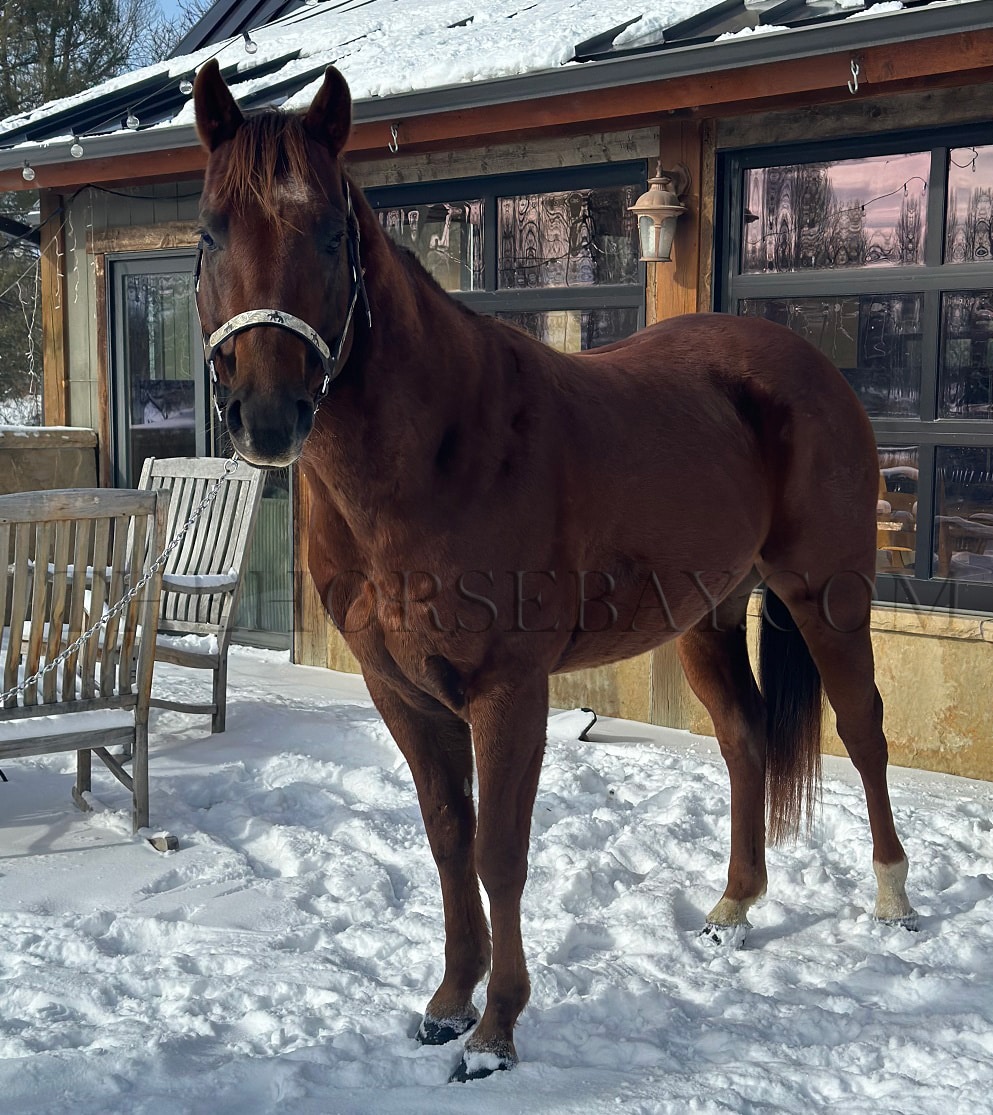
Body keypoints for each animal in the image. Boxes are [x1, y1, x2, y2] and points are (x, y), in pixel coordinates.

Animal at [192, 60, 916, 1082]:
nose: (265, 413)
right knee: (743, 740)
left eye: (331, 234)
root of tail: (807, 364)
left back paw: (893, 900)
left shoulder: (508, 688)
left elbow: (499, 851)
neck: (441, 448)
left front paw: (495, 1032)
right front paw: (447, 1003)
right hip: (704, 615)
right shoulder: (399, 689)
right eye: (210, 232)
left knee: (863, 731)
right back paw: (732, 908)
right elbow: (447, 836)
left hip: (827, 595)